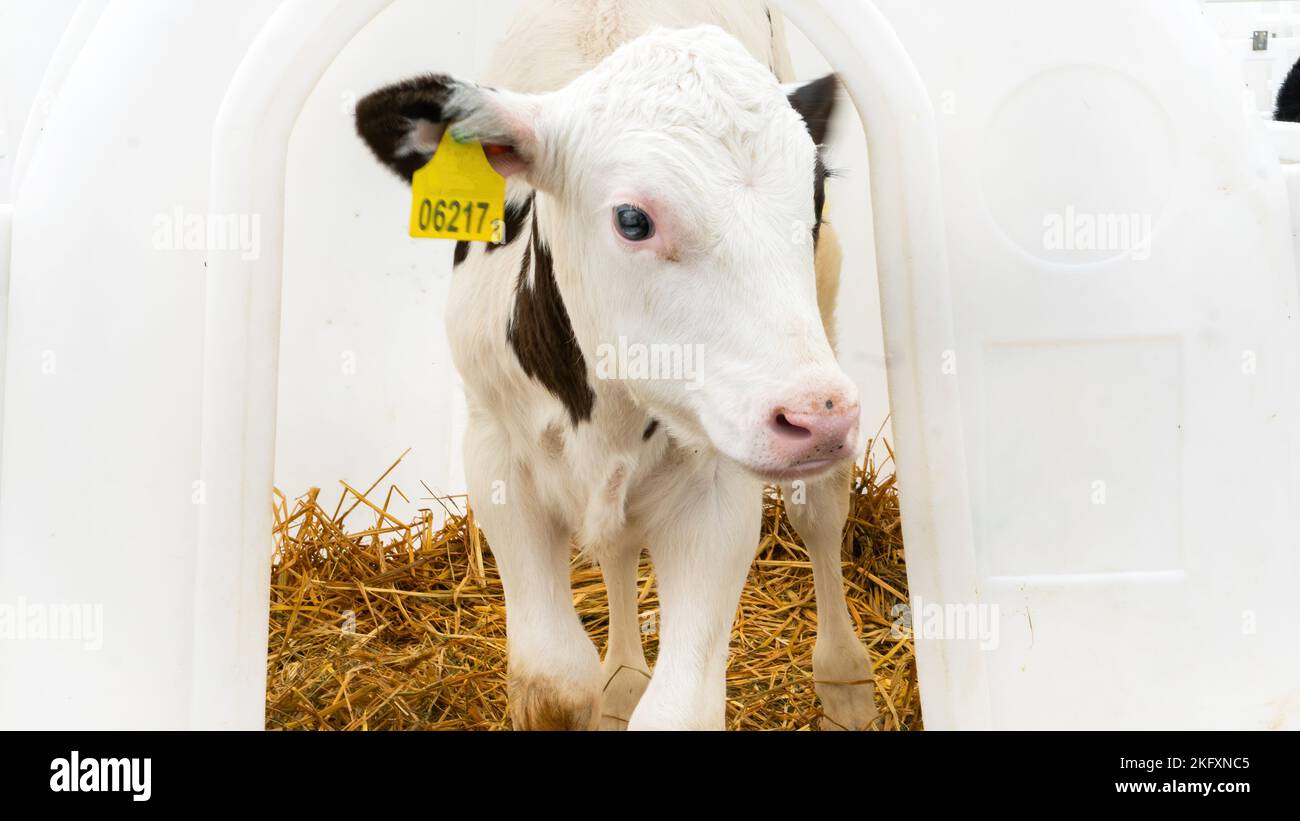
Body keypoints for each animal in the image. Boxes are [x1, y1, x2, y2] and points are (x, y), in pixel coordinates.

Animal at [355, 0, 877, 730]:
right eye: (632, 219)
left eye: (817, 195)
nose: (818, 417)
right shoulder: (494, 450)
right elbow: (553, 682)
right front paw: (605, 688)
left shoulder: (717, 484)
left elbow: (680, 707)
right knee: (618, 548)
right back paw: (623, 678)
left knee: (820, 511)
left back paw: (846, 683)